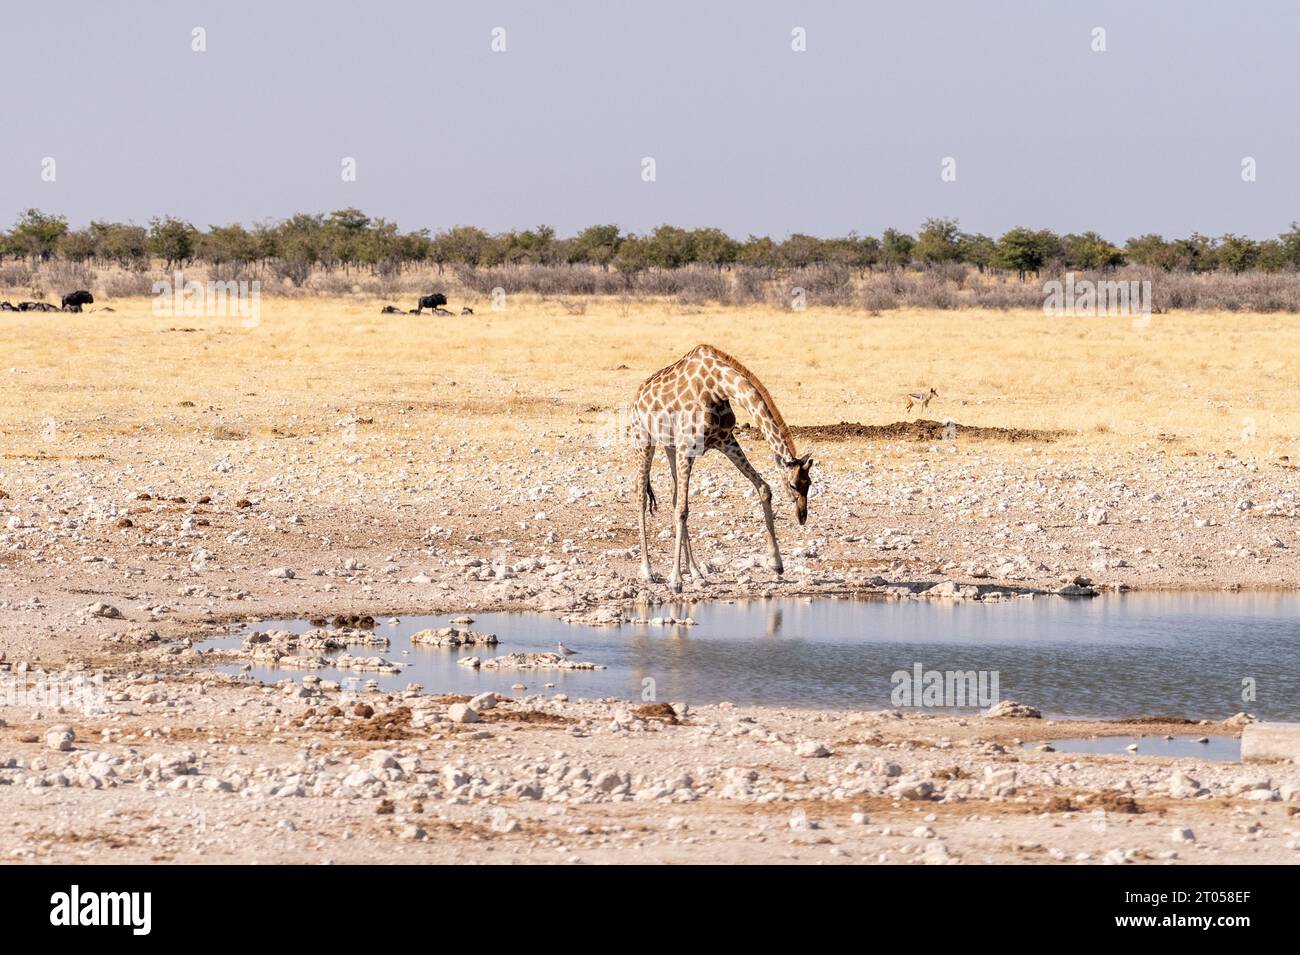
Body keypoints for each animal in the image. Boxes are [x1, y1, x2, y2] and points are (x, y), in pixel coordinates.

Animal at [632, 344, 813, 593]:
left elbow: (764, 488)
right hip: (644, 438)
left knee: (674, 497)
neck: (717, 385)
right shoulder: (687, 447)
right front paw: (675, 580)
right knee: (642, 497)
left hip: (670, 446)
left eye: (809, 484)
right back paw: (648, 571)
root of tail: (639, 393)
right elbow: (682, 511)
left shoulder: (725, 440)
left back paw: (696, 572)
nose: (802, 516)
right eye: (793, 485)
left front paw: (776, 563)